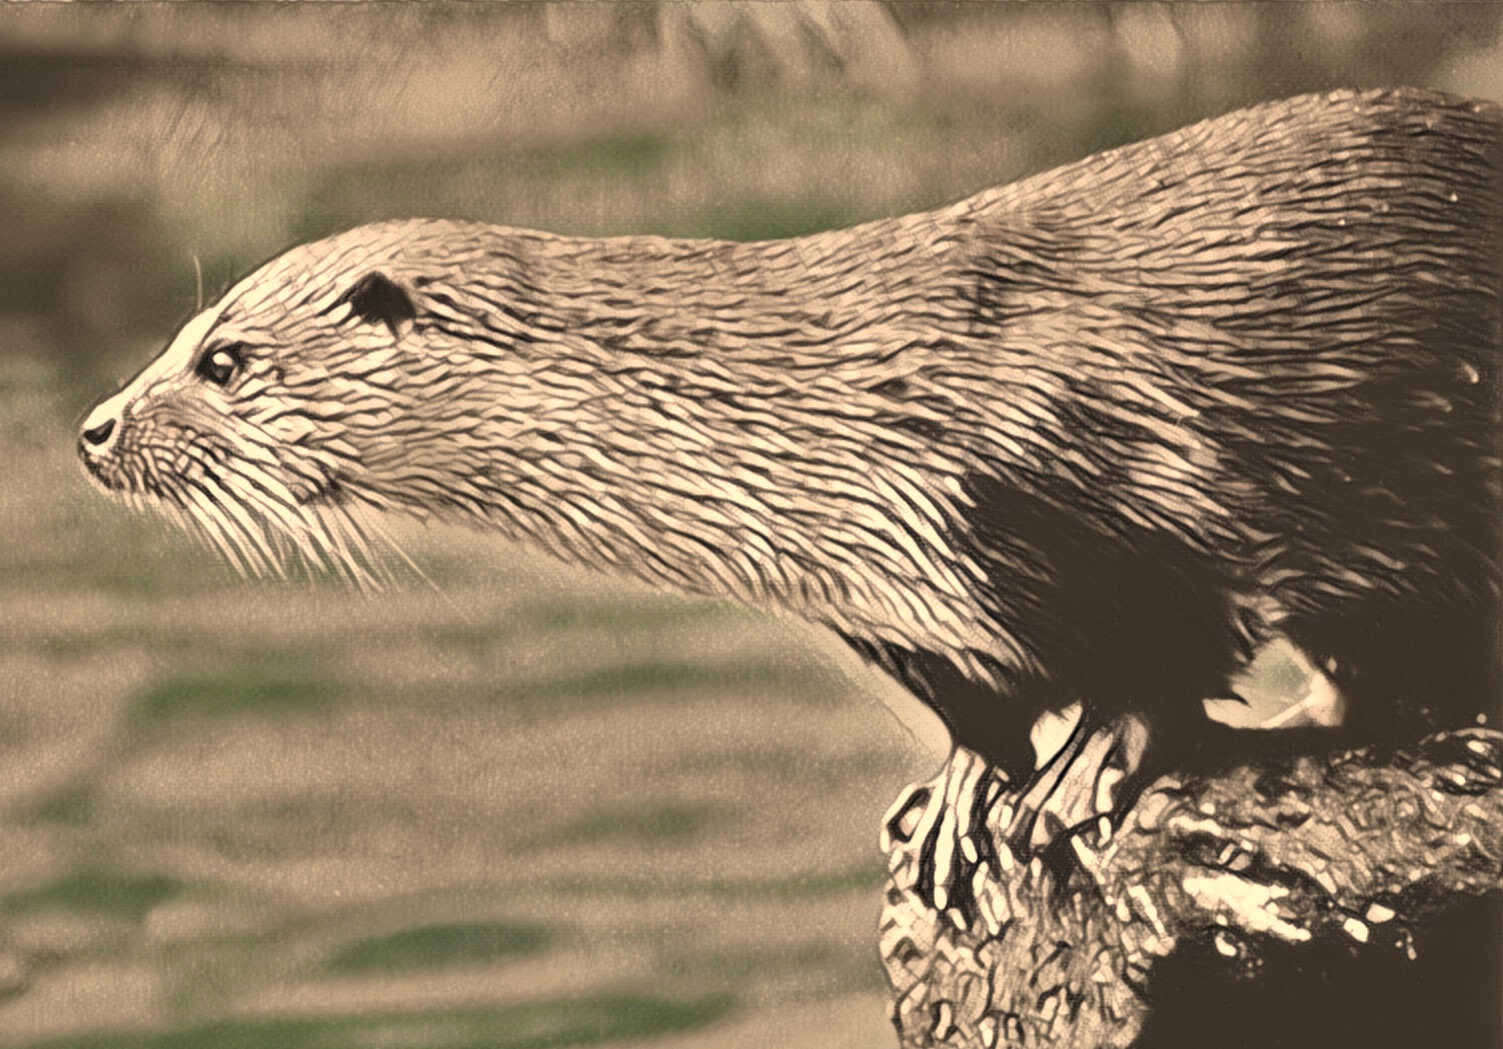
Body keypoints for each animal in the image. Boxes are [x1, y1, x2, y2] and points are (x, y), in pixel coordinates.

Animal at [80, 87, 1501, 853]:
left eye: (223, 357)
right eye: (177, 334)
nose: (93, 427)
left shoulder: (1105, 479)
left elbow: (1164, 662)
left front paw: (1076, 774)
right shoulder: (895, 608)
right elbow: (982, 707)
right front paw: (956, 801)